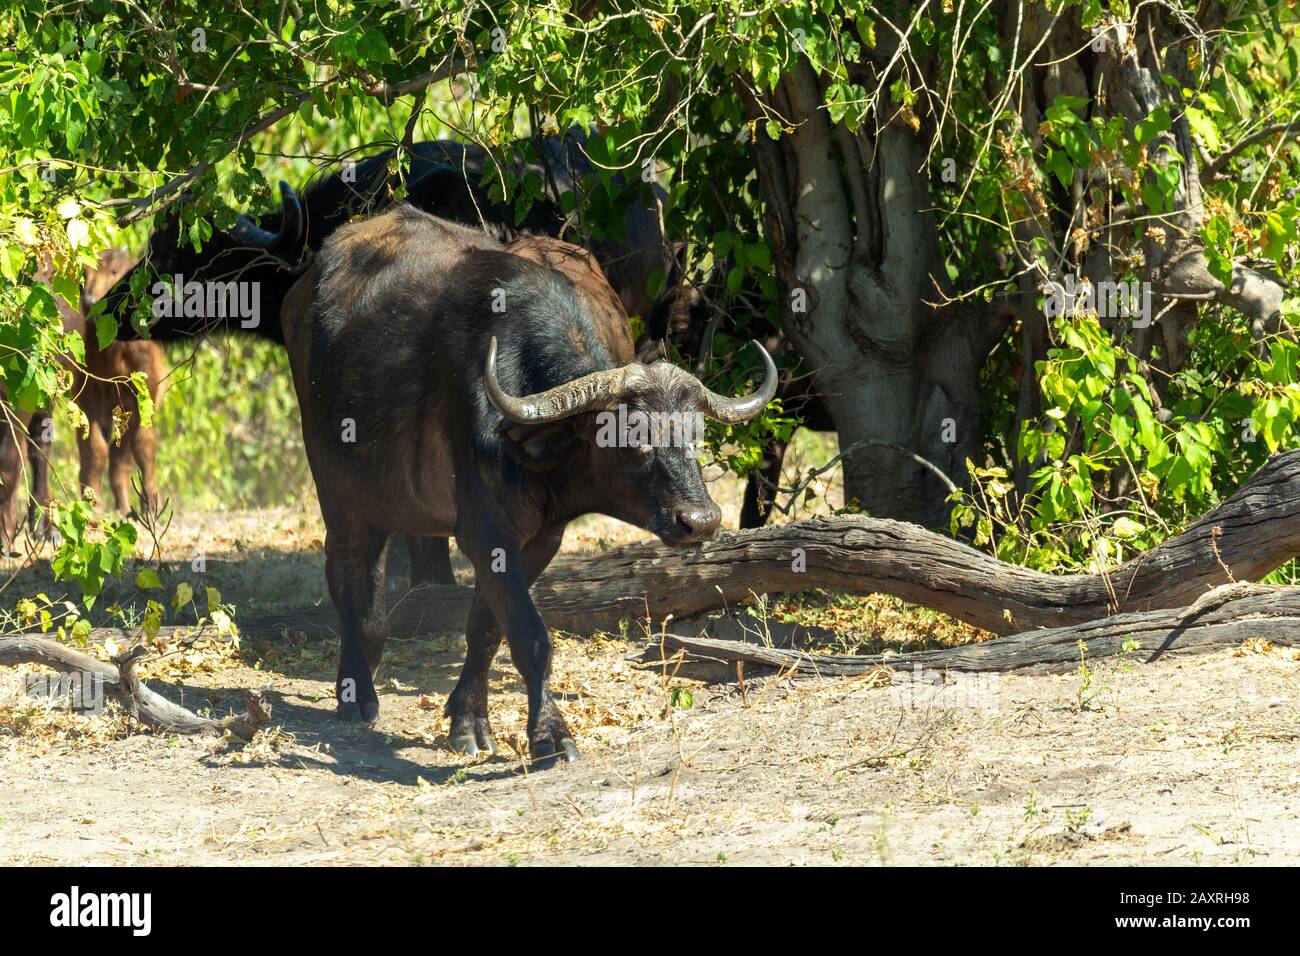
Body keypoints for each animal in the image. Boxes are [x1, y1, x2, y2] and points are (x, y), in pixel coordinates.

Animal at [280, 203, 775, 762]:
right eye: (630, 437)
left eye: (695, 435)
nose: (701, 521)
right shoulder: (485, 533)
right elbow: (530, 636)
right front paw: (550, 735)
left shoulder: (542, 538)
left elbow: (486, 627)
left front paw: (468, 720)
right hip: (336, 489)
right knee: (345, 574)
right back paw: (356, 694)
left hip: (381, 498)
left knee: (370, 578)